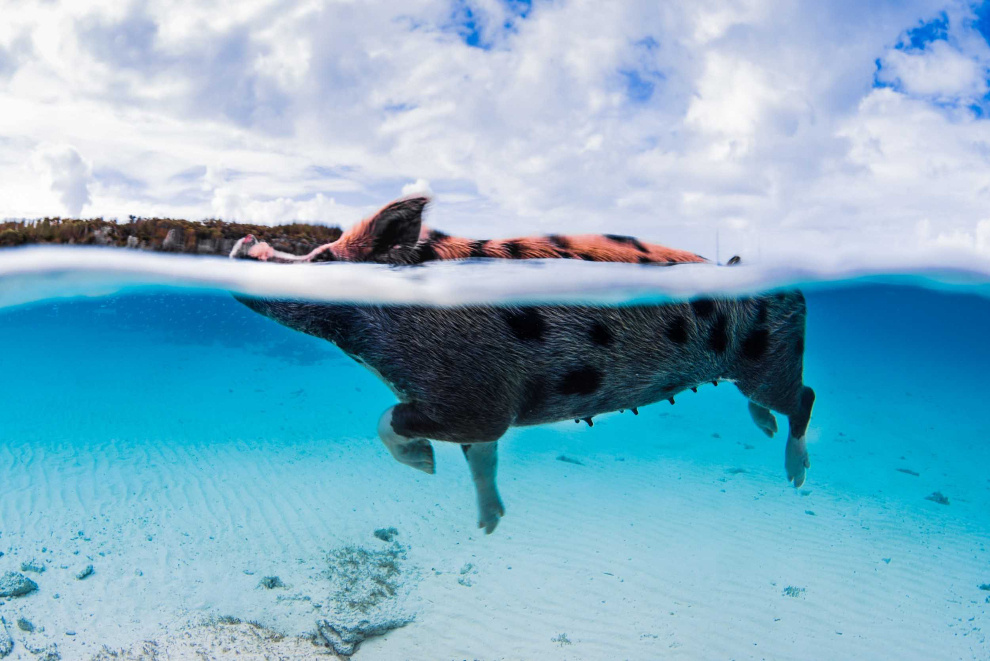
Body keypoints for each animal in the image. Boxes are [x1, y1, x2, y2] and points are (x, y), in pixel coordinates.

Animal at [229, 197, 815, 533]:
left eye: (322, 258)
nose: (246, 240)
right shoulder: (473, 410)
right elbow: (482, 461)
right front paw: (489, 526)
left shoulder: (473, 397)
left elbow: (389, 421)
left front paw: (425, 467)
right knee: (763, 404)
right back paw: (765, 434)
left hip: (772, 357)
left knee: (803, 400)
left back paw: (795, 478)